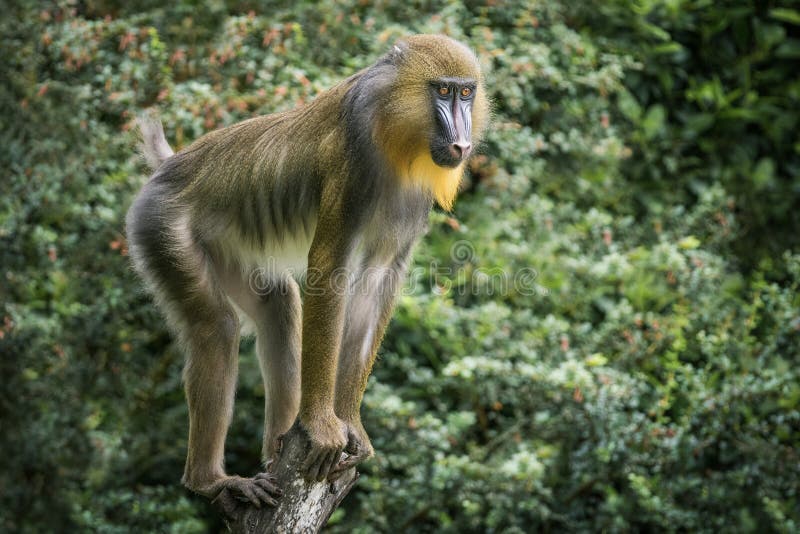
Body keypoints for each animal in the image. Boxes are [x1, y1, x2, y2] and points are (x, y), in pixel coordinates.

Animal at [125, 34, 488, 508]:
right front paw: (321, 425)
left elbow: (376, 280)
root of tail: (166, 169)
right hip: (162, 231)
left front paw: (350, 424)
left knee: (279, 305)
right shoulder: (350, 166)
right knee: (216, 329)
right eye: (442, 91)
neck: (393, 128)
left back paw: (277, 445)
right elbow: (328, 269)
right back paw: (212, 480)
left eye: (466, 93)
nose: (461, 144)